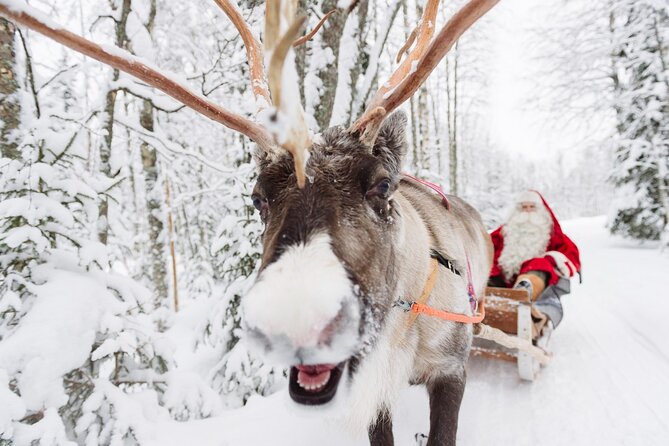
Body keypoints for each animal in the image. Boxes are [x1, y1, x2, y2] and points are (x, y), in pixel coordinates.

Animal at [0, 0, 499, 444]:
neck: (403, 323)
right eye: (257, 197)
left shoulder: (451, 369)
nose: (296, 323)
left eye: (381, 185)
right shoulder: (372, 393)